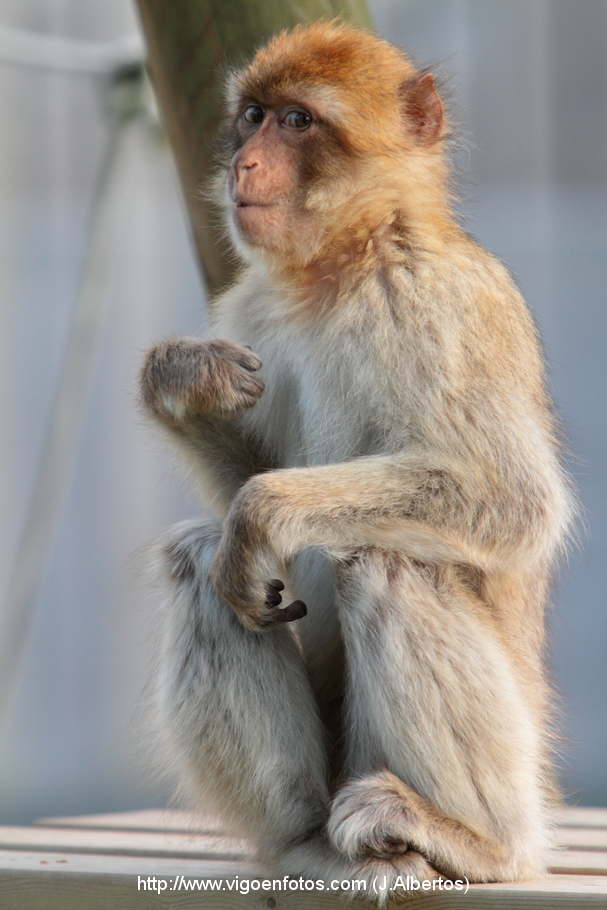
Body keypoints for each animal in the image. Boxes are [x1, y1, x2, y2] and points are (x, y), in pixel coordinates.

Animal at [139, 21, 574, 901]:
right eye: (253, 115)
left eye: (297, 122)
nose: (242, 164)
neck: (341, 265)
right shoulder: (250, 309)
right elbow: (240, 531)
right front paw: (181, 384)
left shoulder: (434, 298)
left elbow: (512, 500)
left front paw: (263, 509)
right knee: (200, 558)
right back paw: (303, 838)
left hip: (507, 763)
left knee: (385, 560)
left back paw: (479, 844)